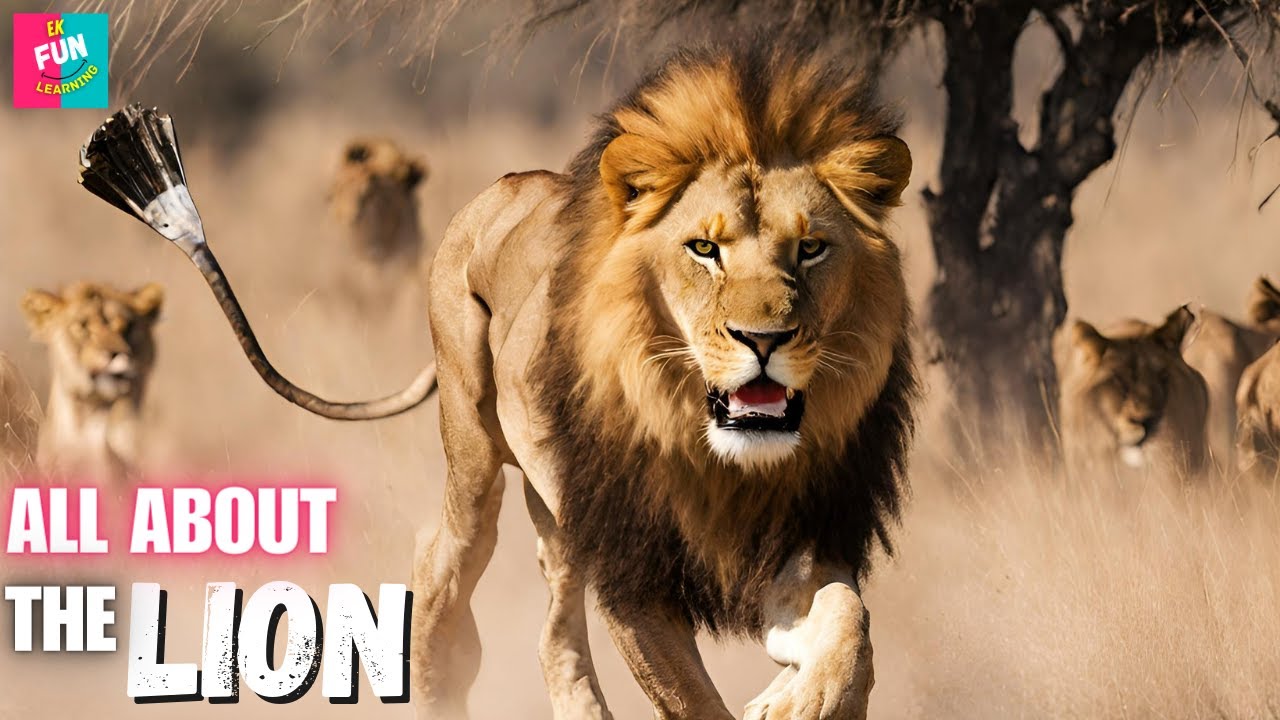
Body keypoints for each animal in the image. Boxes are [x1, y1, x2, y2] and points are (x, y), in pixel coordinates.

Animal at [81, 45, 916, 719]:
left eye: (811, 249)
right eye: (703, 250)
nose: (765, 340)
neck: (708, 447)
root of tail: (504, 185)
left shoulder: (799, 541)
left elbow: (851, 629)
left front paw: (799, 697)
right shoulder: (634, 578)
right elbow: (689, 698)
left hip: (558, 512)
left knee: (552, 637)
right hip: (477, 458)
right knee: (443, 567)